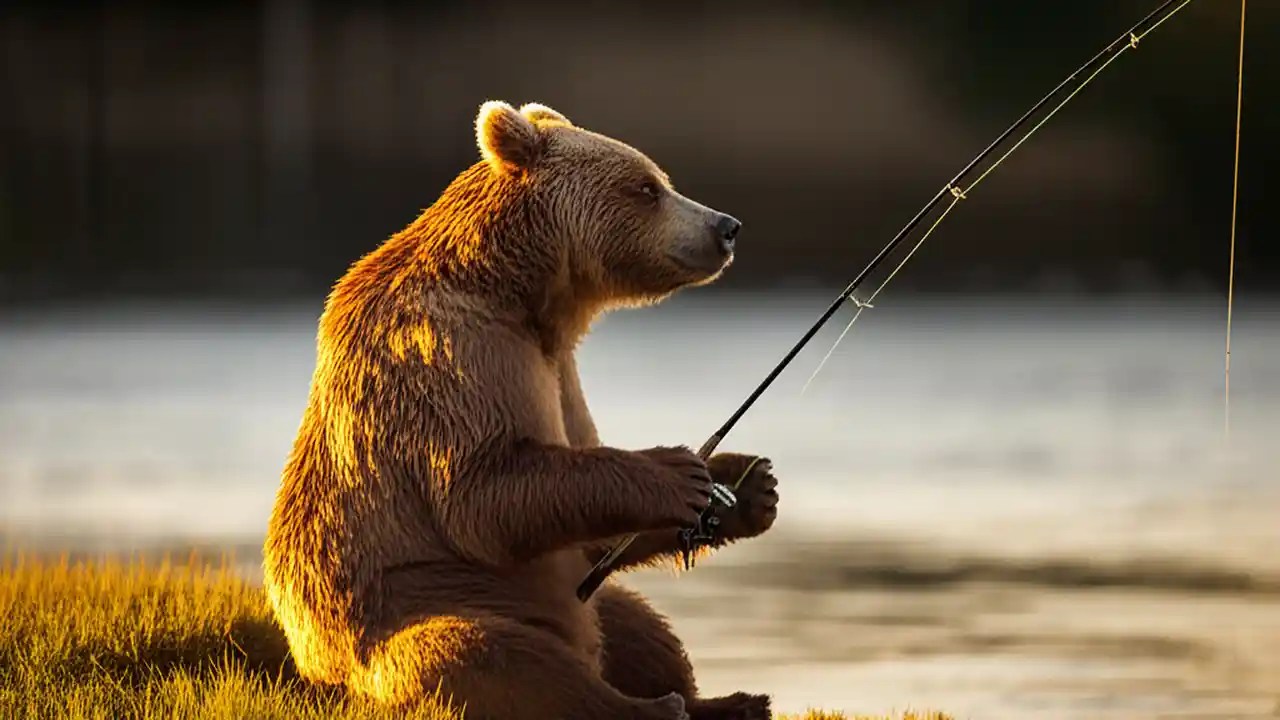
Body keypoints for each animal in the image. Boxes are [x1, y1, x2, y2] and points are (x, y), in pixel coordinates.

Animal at [262, 100, 781, 720]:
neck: (525, 296)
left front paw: (750, 485)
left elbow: (590, 511)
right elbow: (484, 493)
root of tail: (315, 675)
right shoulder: (451, 354)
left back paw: (730, 698)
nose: (725, 226)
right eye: (646, 188)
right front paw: (675, 470)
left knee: (639, 625)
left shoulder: (560, 371)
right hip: (429, 604)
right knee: (491, 656)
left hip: (571, 604)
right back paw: (652, 706)